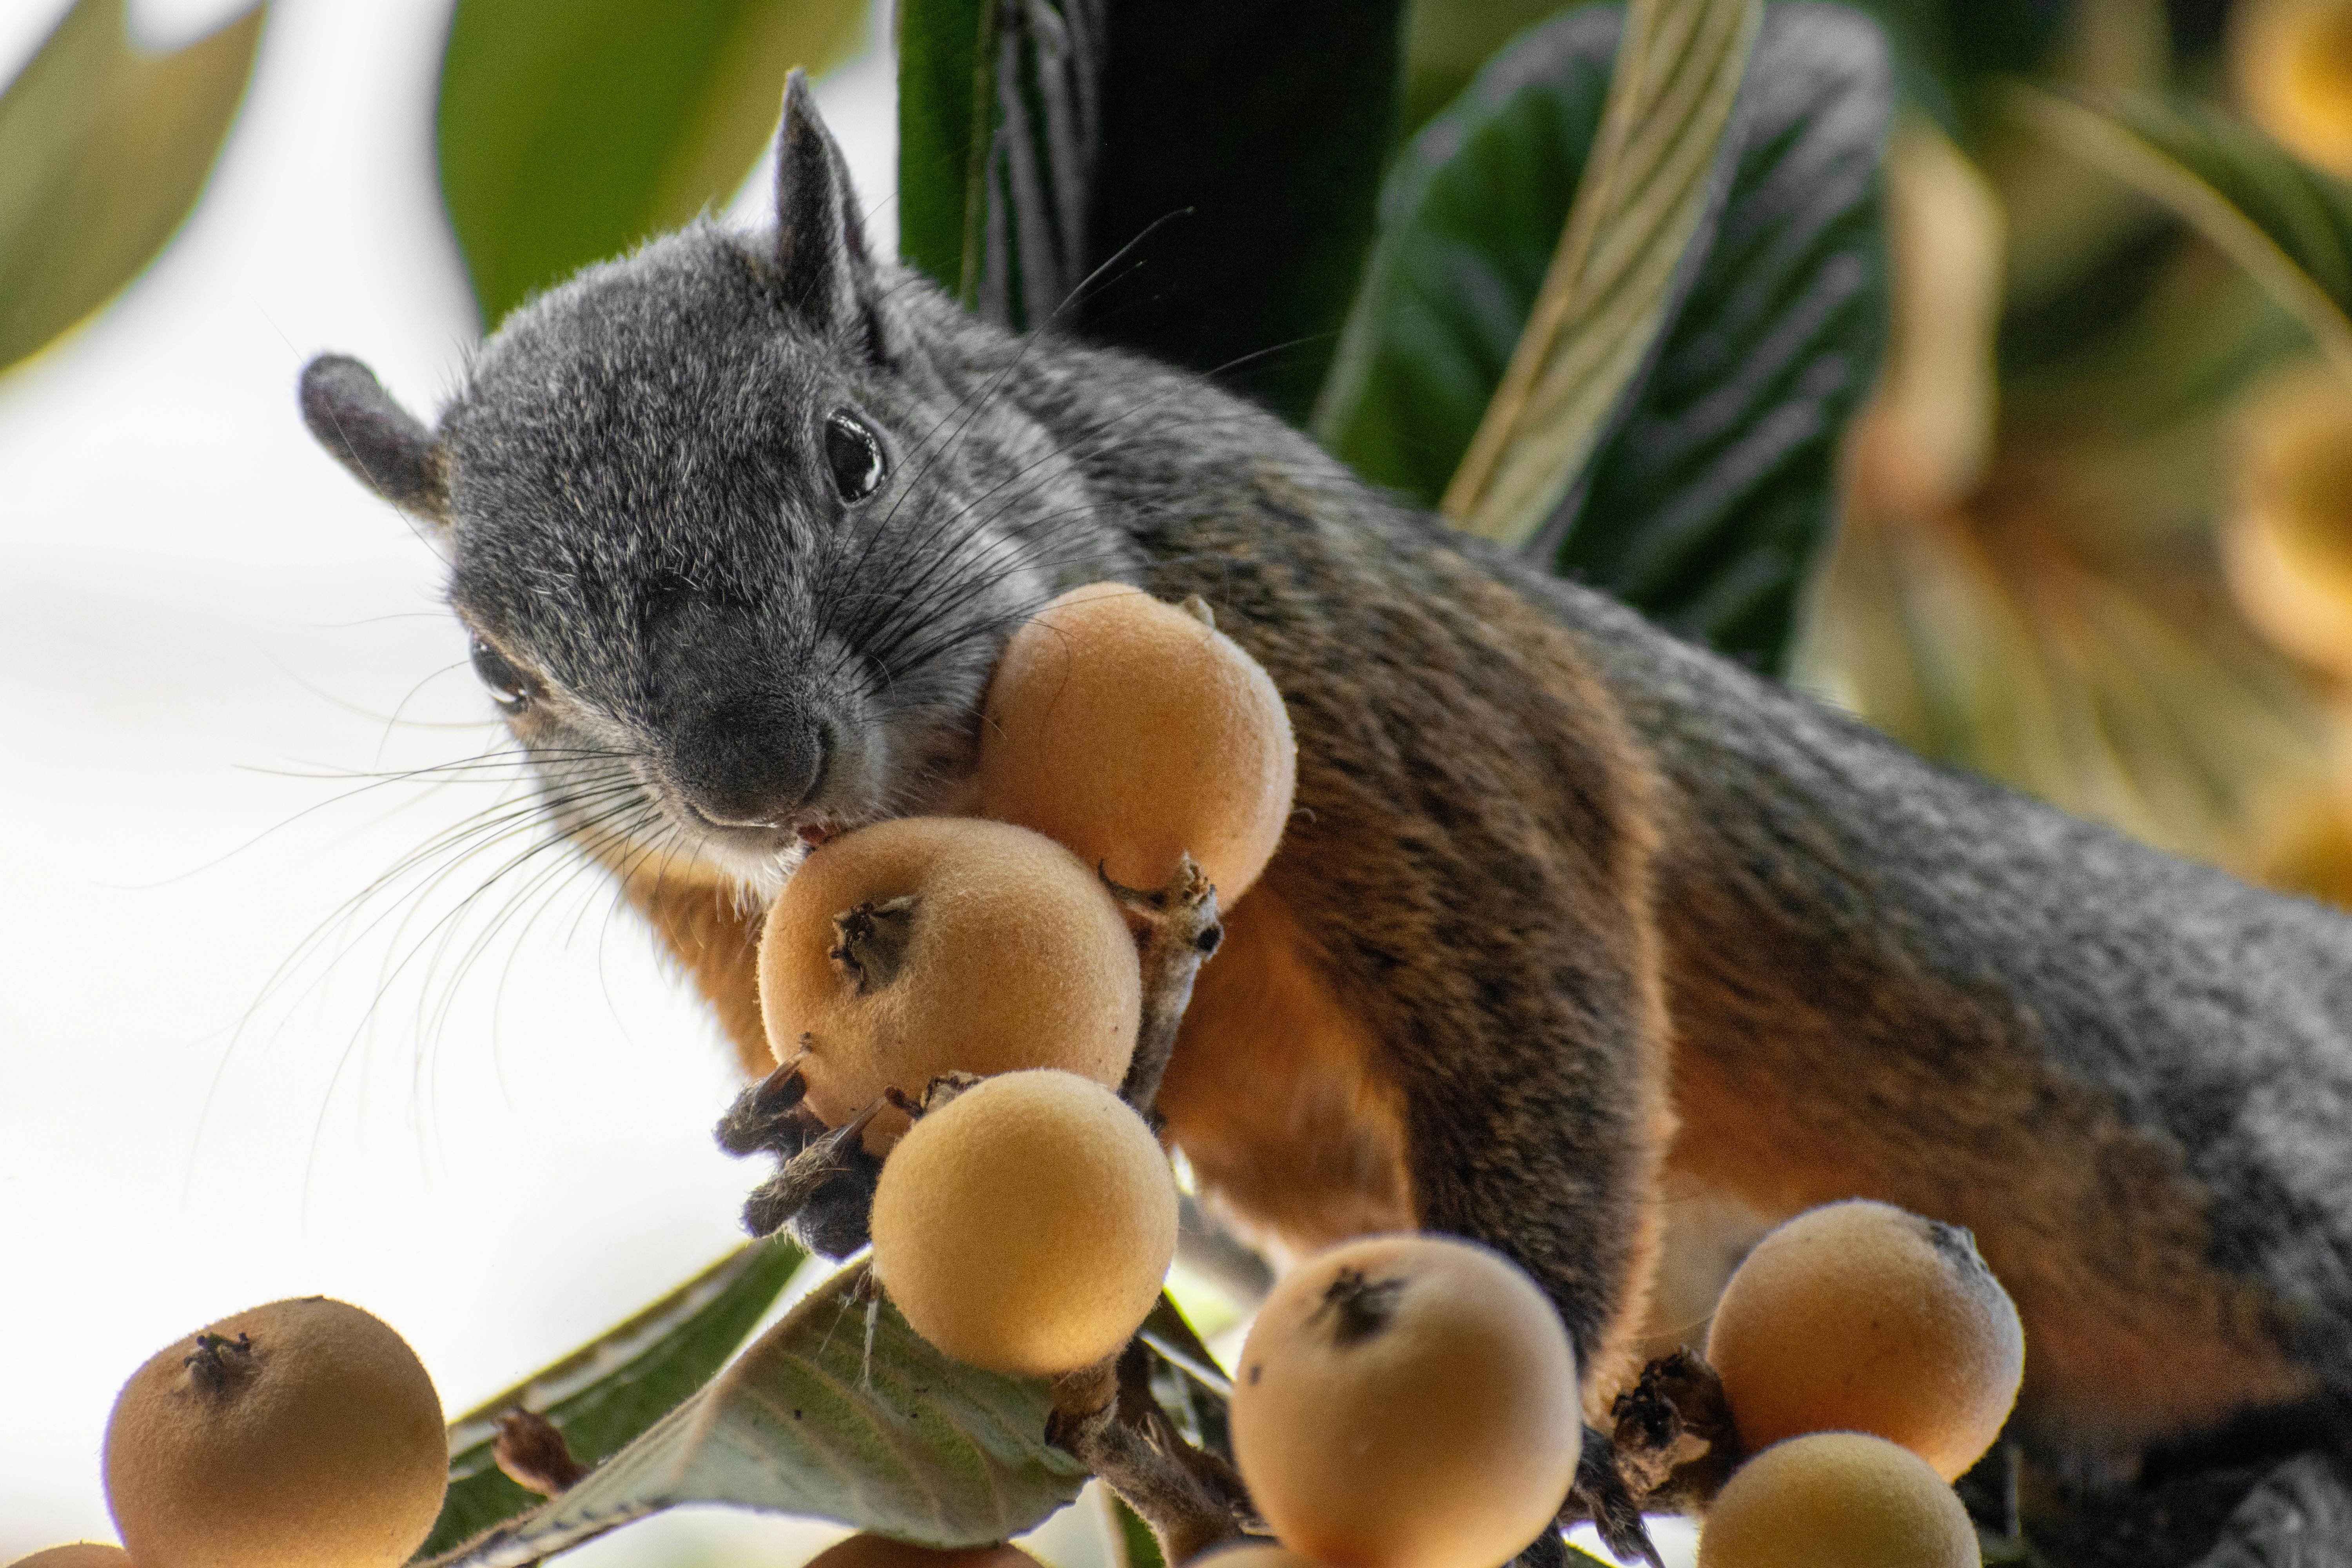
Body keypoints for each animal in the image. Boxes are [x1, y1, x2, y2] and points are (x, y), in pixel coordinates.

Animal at [299, 77, 2352, 1556]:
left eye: (851, 457)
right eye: (499, 666)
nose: (750, 778)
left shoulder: (1407, 705)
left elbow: (1542, 1011)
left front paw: (1532, 1376)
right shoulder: (737, 933)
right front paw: (834, 1174)